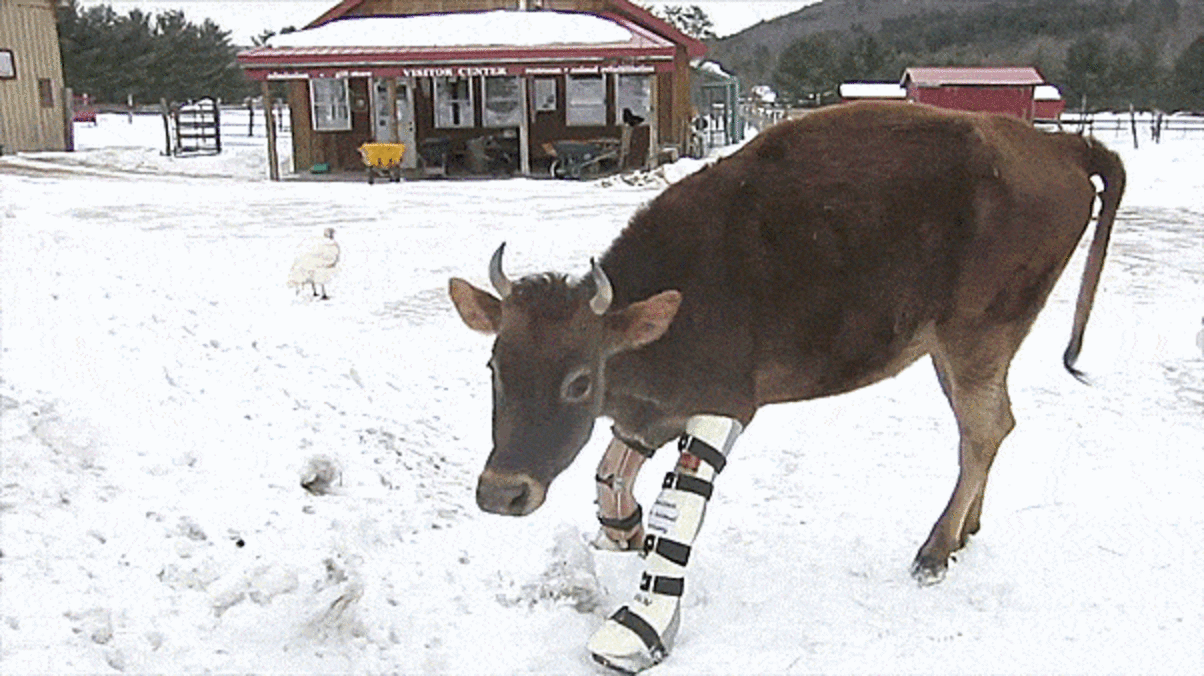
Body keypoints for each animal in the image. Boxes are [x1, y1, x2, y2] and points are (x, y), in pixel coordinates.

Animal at [449, 101, 1125, 672]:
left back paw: (935, 550)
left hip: (975, 339)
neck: (668, 305)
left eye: (579, 381)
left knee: (984, 430)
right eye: (494, 367)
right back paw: (966, 532)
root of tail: (1059, 145)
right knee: (988, 426)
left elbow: (679, 507)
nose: (501, 493)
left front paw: (639, 627)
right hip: (953, 350)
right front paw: (629, 528)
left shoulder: (723, 403)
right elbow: (613, 475)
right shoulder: (655, 412)